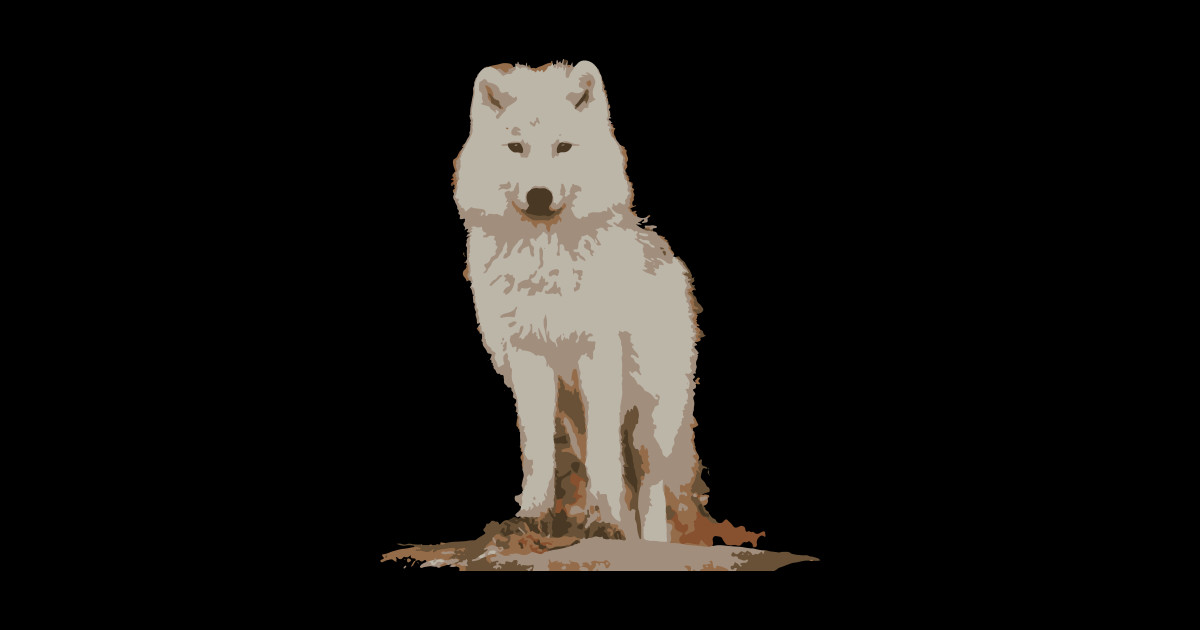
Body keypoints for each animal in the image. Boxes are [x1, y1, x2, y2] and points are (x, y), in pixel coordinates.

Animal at [452, 61, 707, 543]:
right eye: (516, 147)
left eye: (563, 147)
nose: (539, 194)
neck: (545, 261)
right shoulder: (529, 357)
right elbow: (537, 453)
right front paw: (533, 517)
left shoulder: (598, 352)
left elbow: (610, 463)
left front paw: (605, 523)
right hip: (574, 419)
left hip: (649, 419)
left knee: (649, 486)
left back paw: (645, 541)